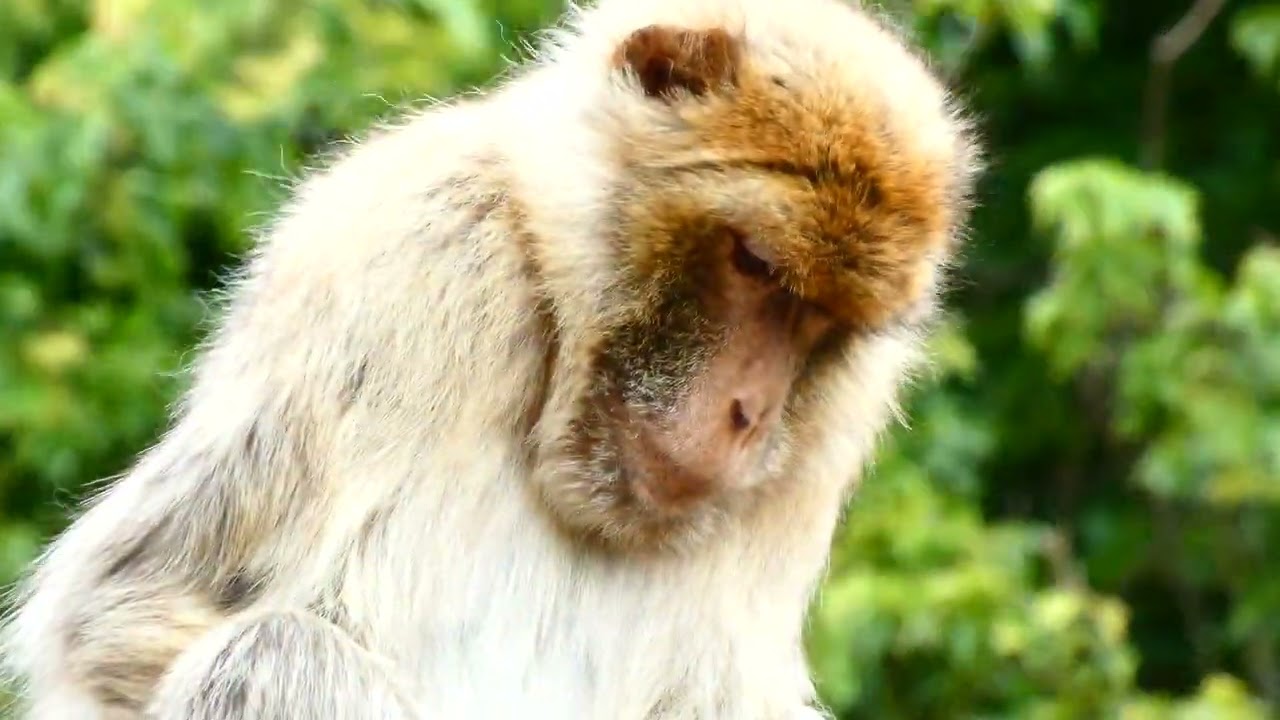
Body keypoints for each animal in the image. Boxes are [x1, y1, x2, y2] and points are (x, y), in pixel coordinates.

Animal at [0, 0, 981, 717]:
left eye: (823, 320)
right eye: (755, 264)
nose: (751, 411)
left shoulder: (826, 437)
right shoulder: (418, 248)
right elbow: (126, 608)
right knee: (281, 652)